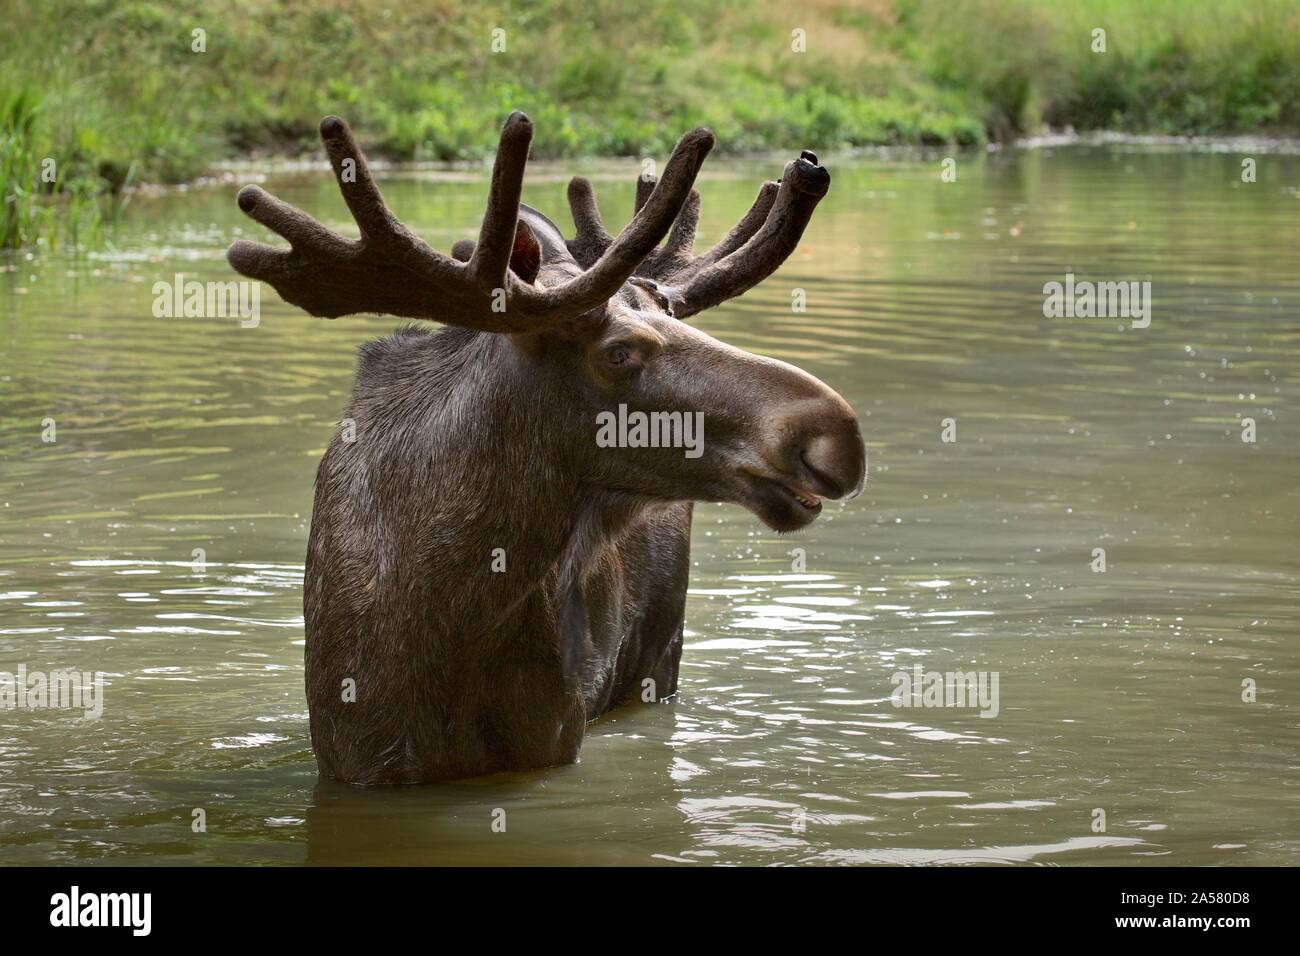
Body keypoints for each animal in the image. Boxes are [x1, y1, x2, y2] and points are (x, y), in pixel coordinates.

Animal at [226, 112, 865, 785]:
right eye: (618, 352)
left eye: (671, 313)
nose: (836, 431)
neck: (444, 629)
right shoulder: (353, 759)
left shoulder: (554, 738)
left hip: (660, 653)